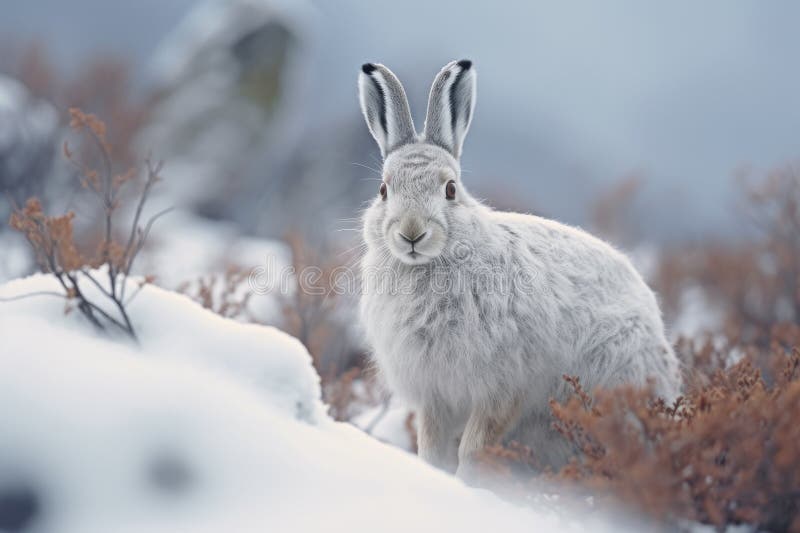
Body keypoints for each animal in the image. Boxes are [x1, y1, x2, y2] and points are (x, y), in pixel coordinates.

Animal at [357, 60, 682, 476]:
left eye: (450, 189)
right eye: (383, 190)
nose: (411, 232)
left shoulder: (504, 385)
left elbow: (475, 447)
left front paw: (468, 481)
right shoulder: (436, 393)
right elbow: (431, 445)